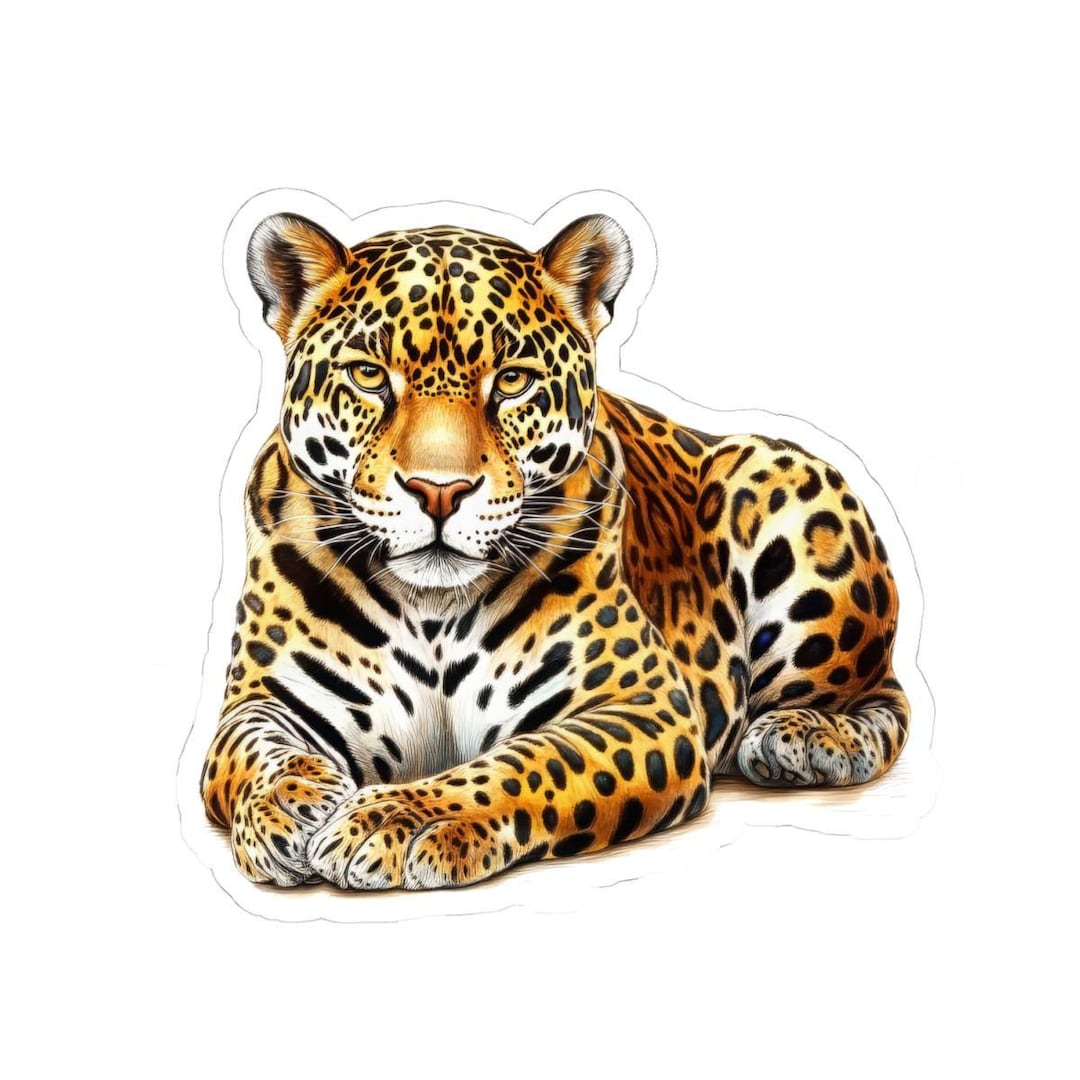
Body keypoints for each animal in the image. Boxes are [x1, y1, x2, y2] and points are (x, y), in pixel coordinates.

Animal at [200, 210, 910, 889]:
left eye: (512, 381)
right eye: (369, 376)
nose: (438, 491)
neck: (431, 609)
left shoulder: (645, 704)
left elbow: (528, 764)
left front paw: (398, 819)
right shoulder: (264, 697)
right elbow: (252, 751)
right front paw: (287, 807)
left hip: (780, 483)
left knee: (882, 698)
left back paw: (806, 738)